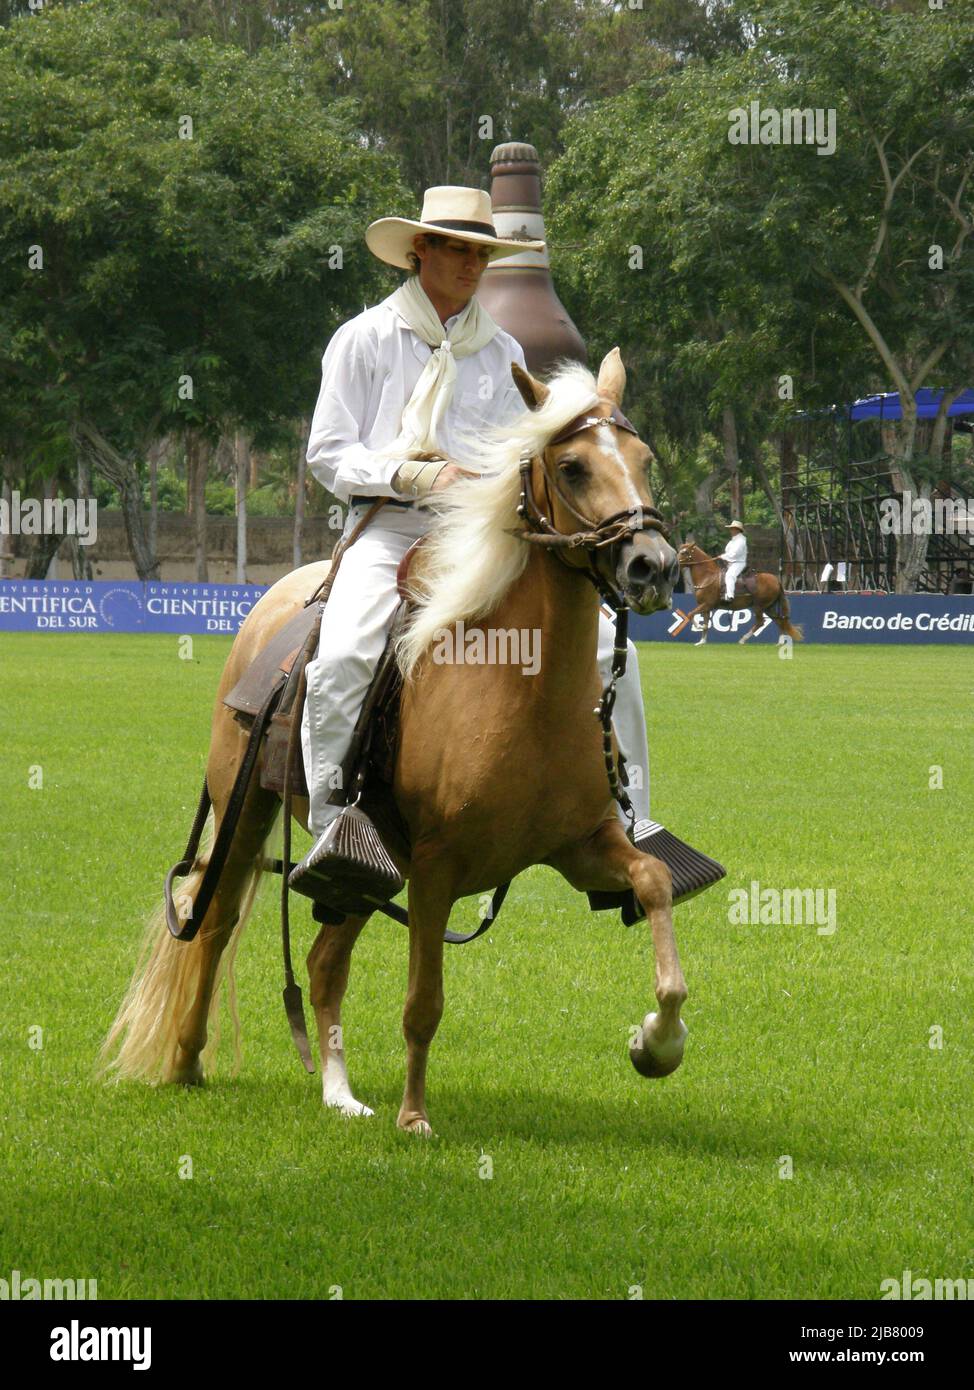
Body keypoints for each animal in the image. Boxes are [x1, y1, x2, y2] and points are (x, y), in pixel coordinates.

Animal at [100, 348, 692, 1136]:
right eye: (571, 467)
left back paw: (339, 1092)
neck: (520, 688)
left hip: (359, 869)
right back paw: (188, 1060)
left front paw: (658, 1043)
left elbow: (653, 885)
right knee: (216, 916)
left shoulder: (580, 844)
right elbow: (423, 1002)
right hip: (245, 806)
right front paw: (415, 1116)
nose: (652, 565)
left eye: (644, 457)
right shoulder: (438, 867)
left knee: (322, 960)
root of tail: (275, 598)